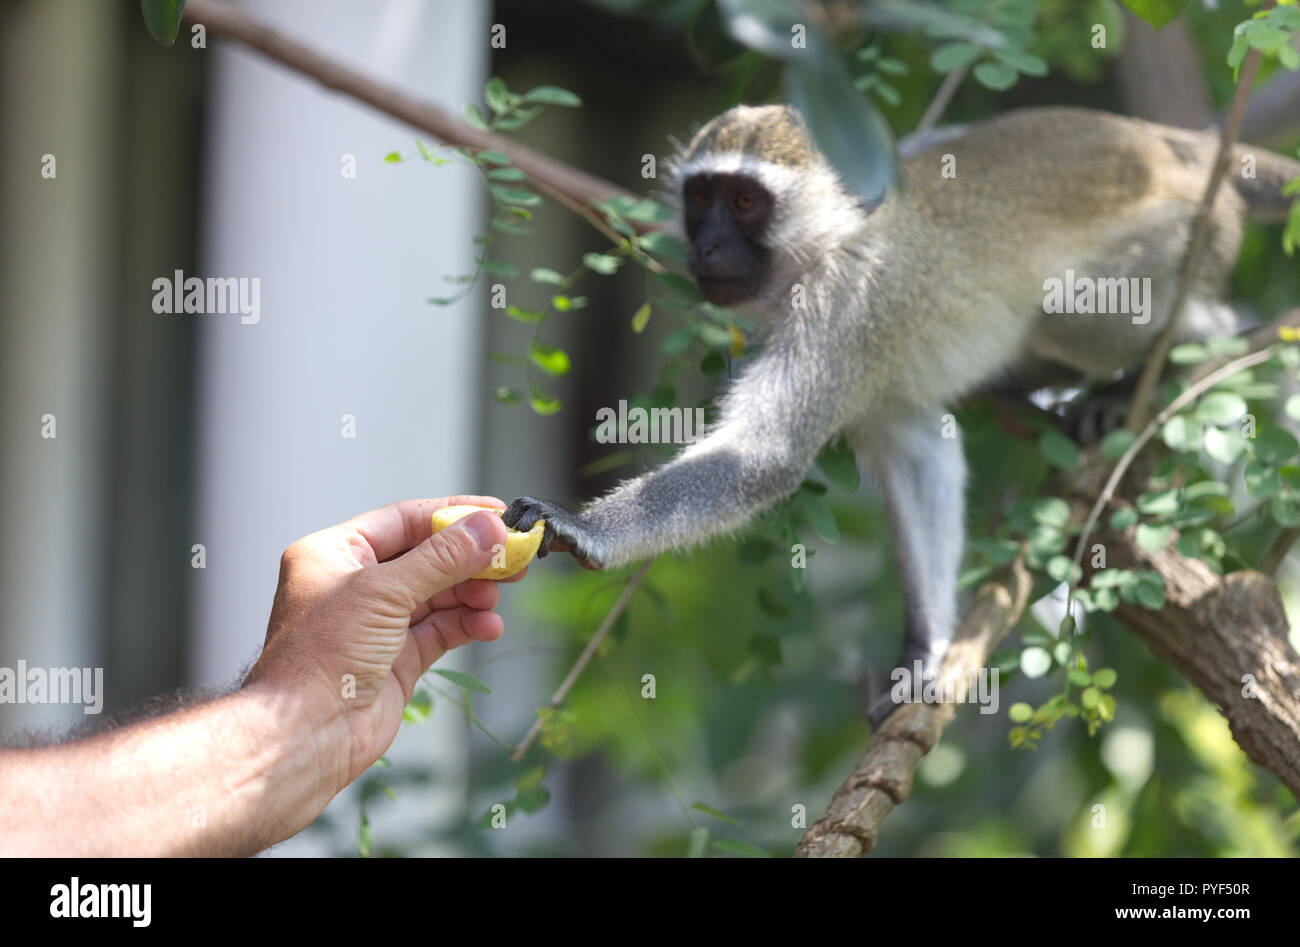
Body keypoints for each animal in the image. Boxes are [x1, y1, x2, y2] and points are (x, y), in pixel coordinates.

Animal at [505, 104, 1300, 724]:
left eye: (745, 204)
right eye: (701, 197)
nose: (706, 246)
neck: (827, 242)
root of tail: (1178, 149)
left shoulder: (845, 308)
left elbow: (761, 458)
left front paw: (575, 527)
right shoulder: (874, 367)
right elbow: (921, 451)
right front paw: (925, 650)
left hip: (1183, 239)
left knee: (1087, 311)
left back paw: (1193, 345)